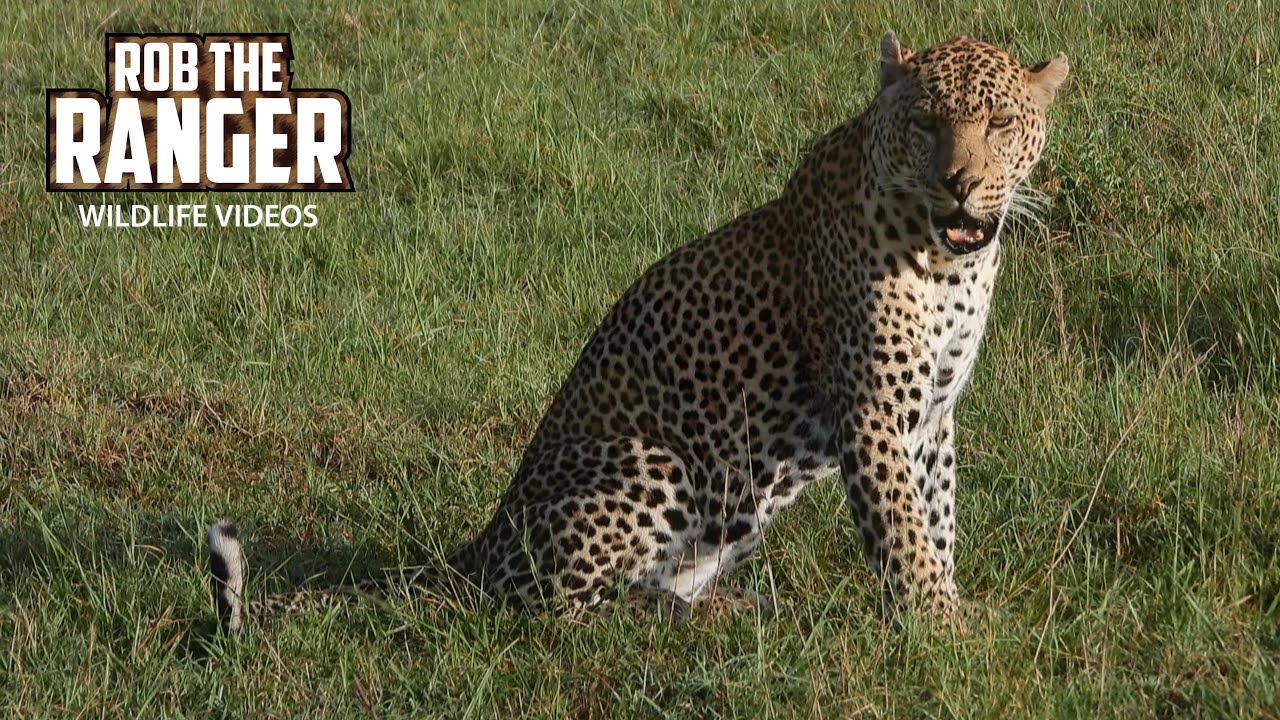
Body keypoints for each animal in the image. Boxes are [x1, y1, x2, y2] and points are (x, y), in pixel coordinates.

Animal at [207, 32, 1069, 633]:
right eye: (925, 123)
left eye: (999, 122)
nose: (959, 183)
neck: (947, 262)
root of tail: (480, 543)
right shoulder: (872, 411)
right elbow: (902, 526)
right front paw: (935, 624)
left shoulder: (934, 413)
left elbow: (938, 515)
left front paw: (949, 605)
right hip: (659, 464)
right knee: (545, 611)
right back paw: (668, 621)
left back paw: (714, 608)